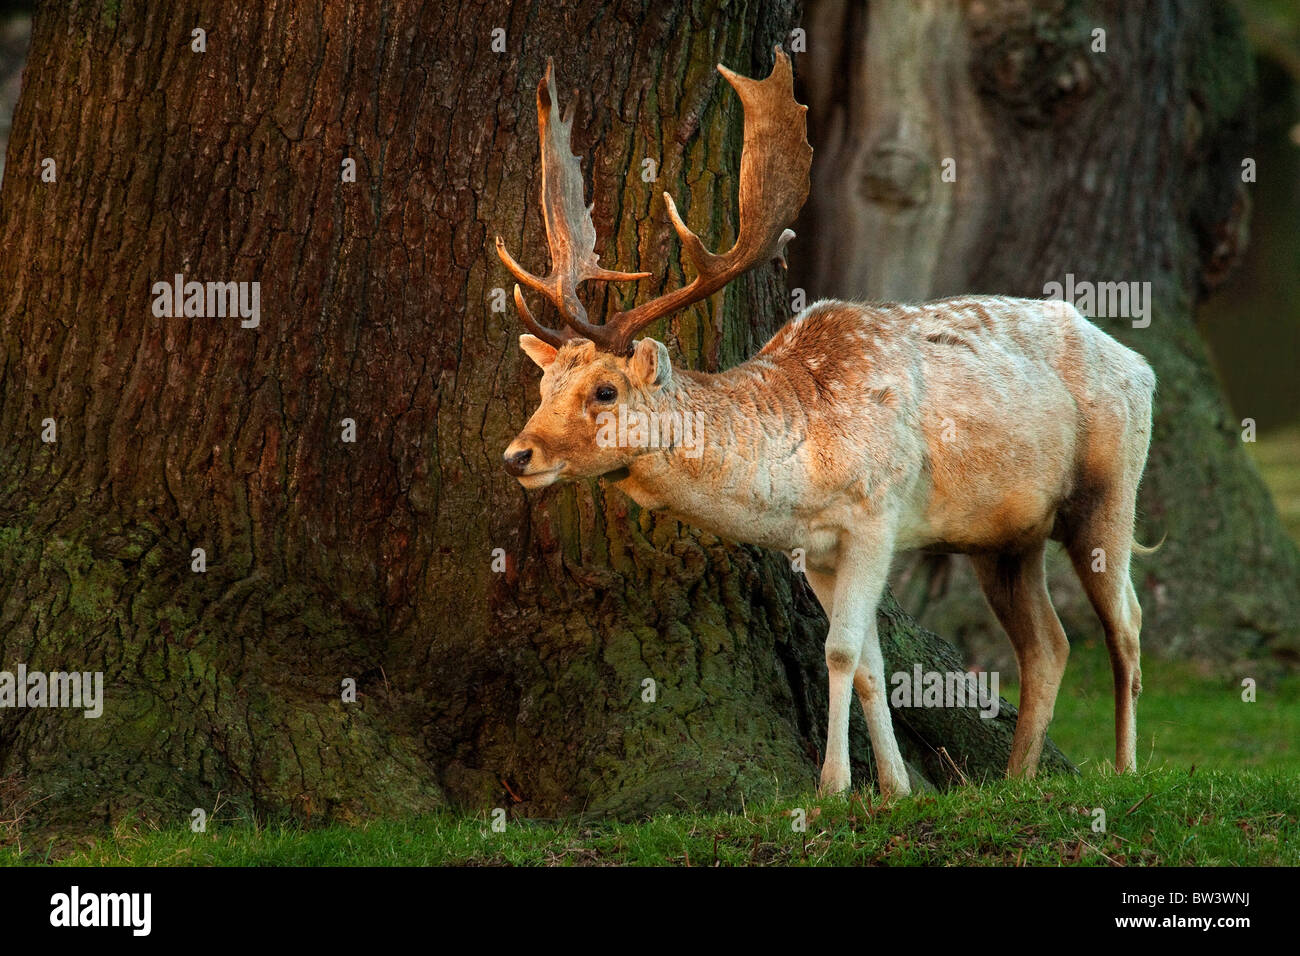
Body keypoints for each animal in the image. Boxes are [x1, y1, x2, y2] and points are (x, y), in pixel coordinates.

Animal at [497, 47, 1156, 800]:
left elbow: (838, 650)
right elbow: (868, 662)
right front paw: (895, 789)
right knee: (1048, 643)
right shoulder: (815, 548)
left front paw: (834, 788)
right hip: (1004, 539)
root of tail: (1139, 363)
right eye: (544, 384)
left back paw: (1125, 769)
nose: (518, 454)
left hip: (1111, 487)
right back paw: (1016, 779)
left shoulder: (877, 513)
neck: (802, 472)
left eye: (605, 390)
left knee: (1126, 624)